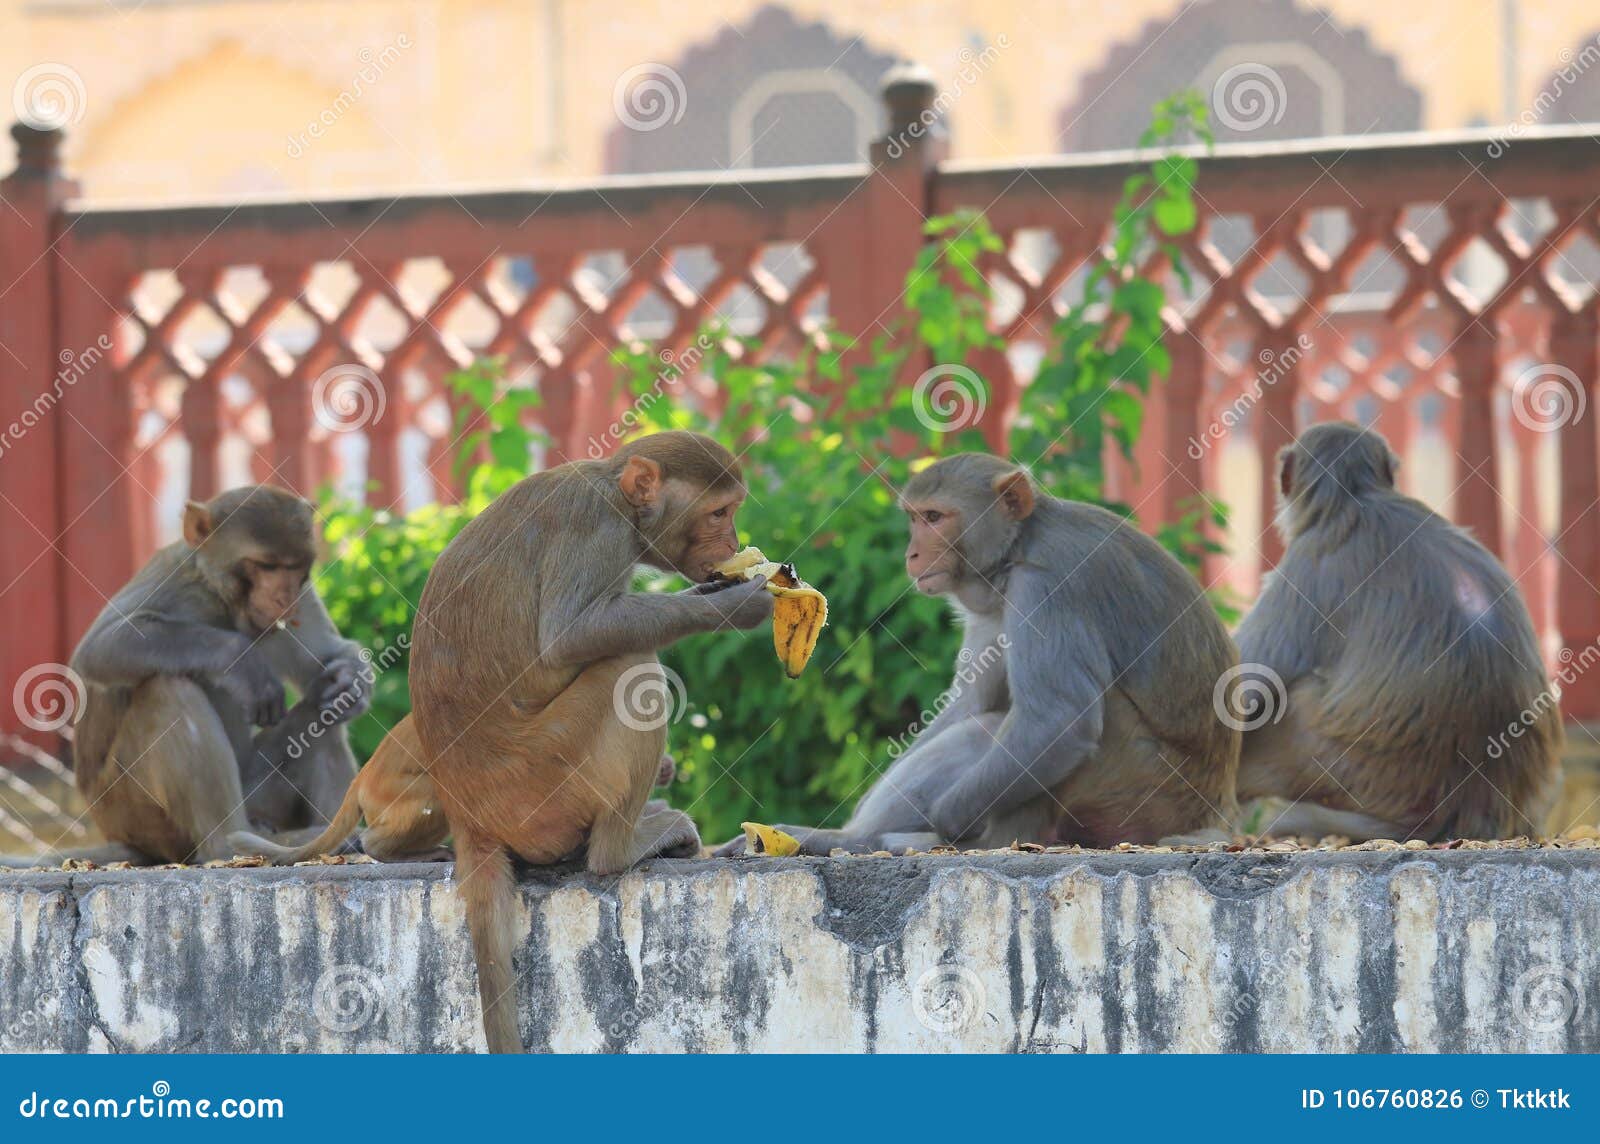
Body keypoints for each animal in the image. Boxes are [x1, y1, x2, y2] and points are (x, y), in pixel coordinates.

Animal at [1, 486, 369, 869]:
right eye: (265, 566)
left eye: (294, 567)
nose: (284, 597)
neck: (223, 600)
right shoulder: (175, 585)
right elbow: (102, 647)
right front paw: (241, 661)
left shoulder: (304, 596)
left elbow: (330, 658)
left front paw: (352, 680)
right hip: (139, 812)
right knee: (168, 689)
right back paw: (231, 842)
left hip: (254, 795)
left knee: (325, 713)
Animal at [408, 430, 773, 1052]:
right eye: (719, 512)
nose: (732, 541)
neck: (620, 499)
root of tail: (467, 819)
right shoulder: (595, 529)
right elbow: (572, 635)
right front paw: (732, 605)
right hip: (543, 780)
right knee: (630, 663)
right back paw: (622, 849)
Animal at [718, 452, 1239, 856]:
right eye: (914, 518)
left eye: (935, 518)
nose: (911, 555)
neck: (1020, 546)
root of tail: (1213, 813)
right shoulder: (992, 605)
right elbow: (970, 704)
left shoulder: (1047, 585)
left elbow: (1058, 720)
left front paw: (946, 820)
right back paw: (840, 837)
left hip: (1134, 789)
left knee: (1011, 731)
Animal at [1233, 421, 1561, 842]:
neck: (1357, 498)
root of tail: (1466, 807)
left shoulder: (1308, 566)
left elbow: (1244, 686)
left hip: (1337, 765)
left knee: (1296, 698)